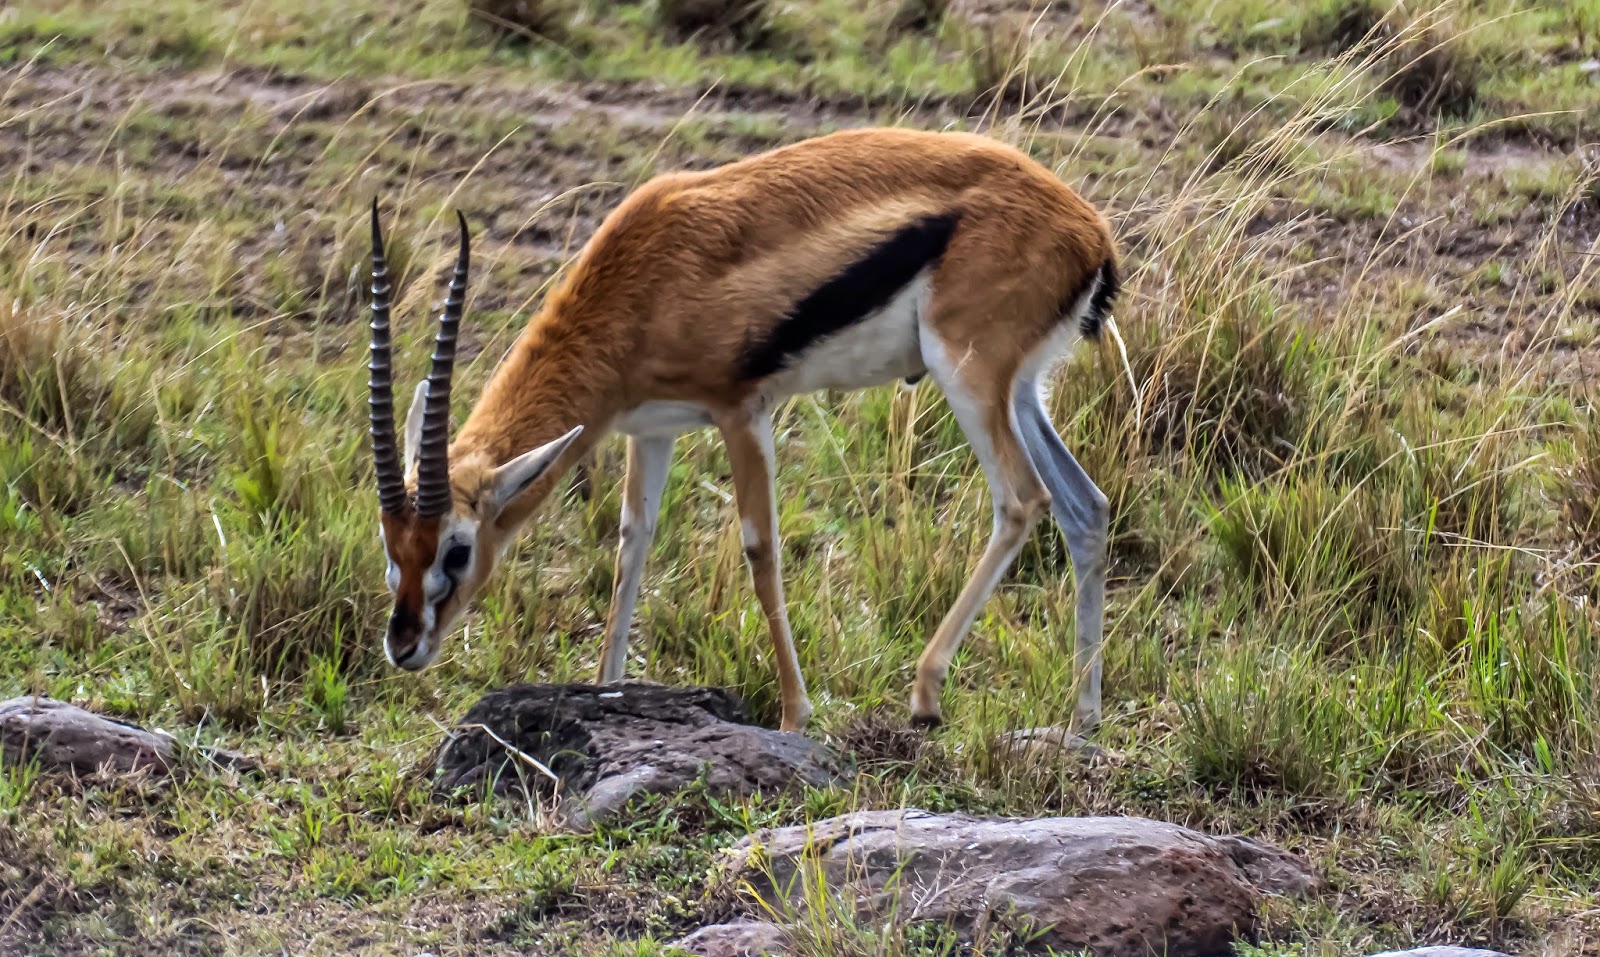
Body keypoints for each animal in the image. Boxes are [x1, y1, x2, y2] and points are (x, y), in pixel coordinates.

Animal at [367, 127, 1119, 733]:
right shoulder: (651, 429)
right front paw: (605, 689)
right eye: (391, 547)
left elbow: (760, 550)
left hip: (965, 375)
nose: (403, 646)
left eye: (457, 549)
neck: (644, 282)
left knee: (1022, 501)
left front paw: (794, 714)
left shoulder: (741, 411)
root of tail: (1090, 231)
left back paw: (926, 695)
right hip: (1019, 391)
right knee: (1086, 506)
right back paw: (1082, 715)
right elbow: (631, 545)